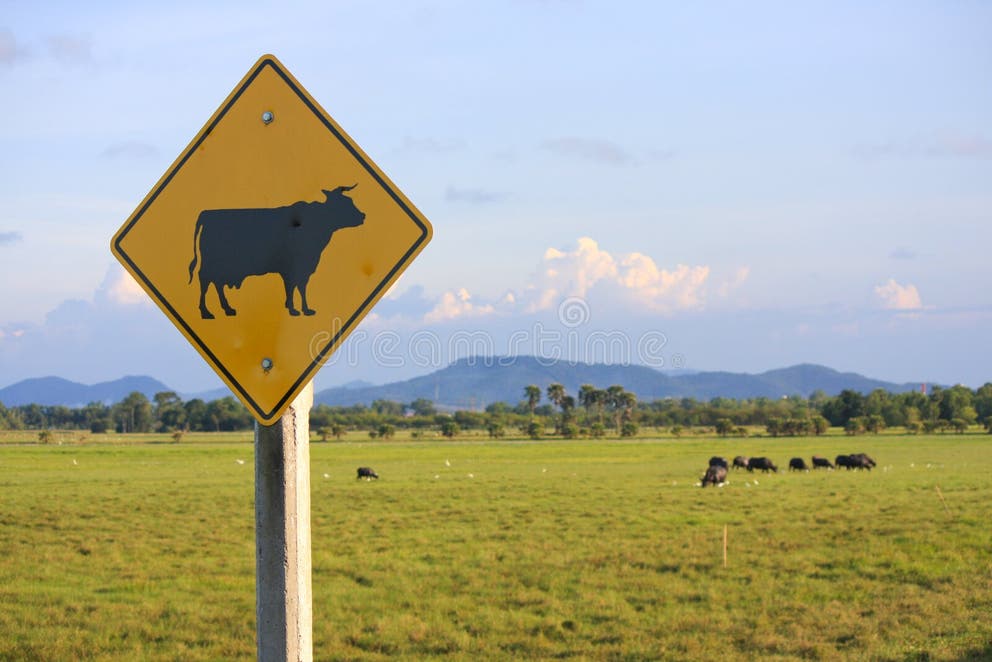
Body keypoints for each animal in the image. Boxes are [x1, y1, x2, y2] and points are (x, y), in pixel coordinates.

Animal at [188, 185, 365, 319]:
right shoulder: (293, 267)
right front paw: (293, 309)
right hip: (212, 263)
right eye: (344, 202)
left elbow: (301, 287)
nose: (363, 215)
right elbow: (293, 286)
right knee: (205, 280)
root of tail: (207, 214)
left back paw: (228, 309)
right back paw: (206, 312)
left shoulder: (304, 267)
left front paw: (305, 309)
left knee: (216, 283)